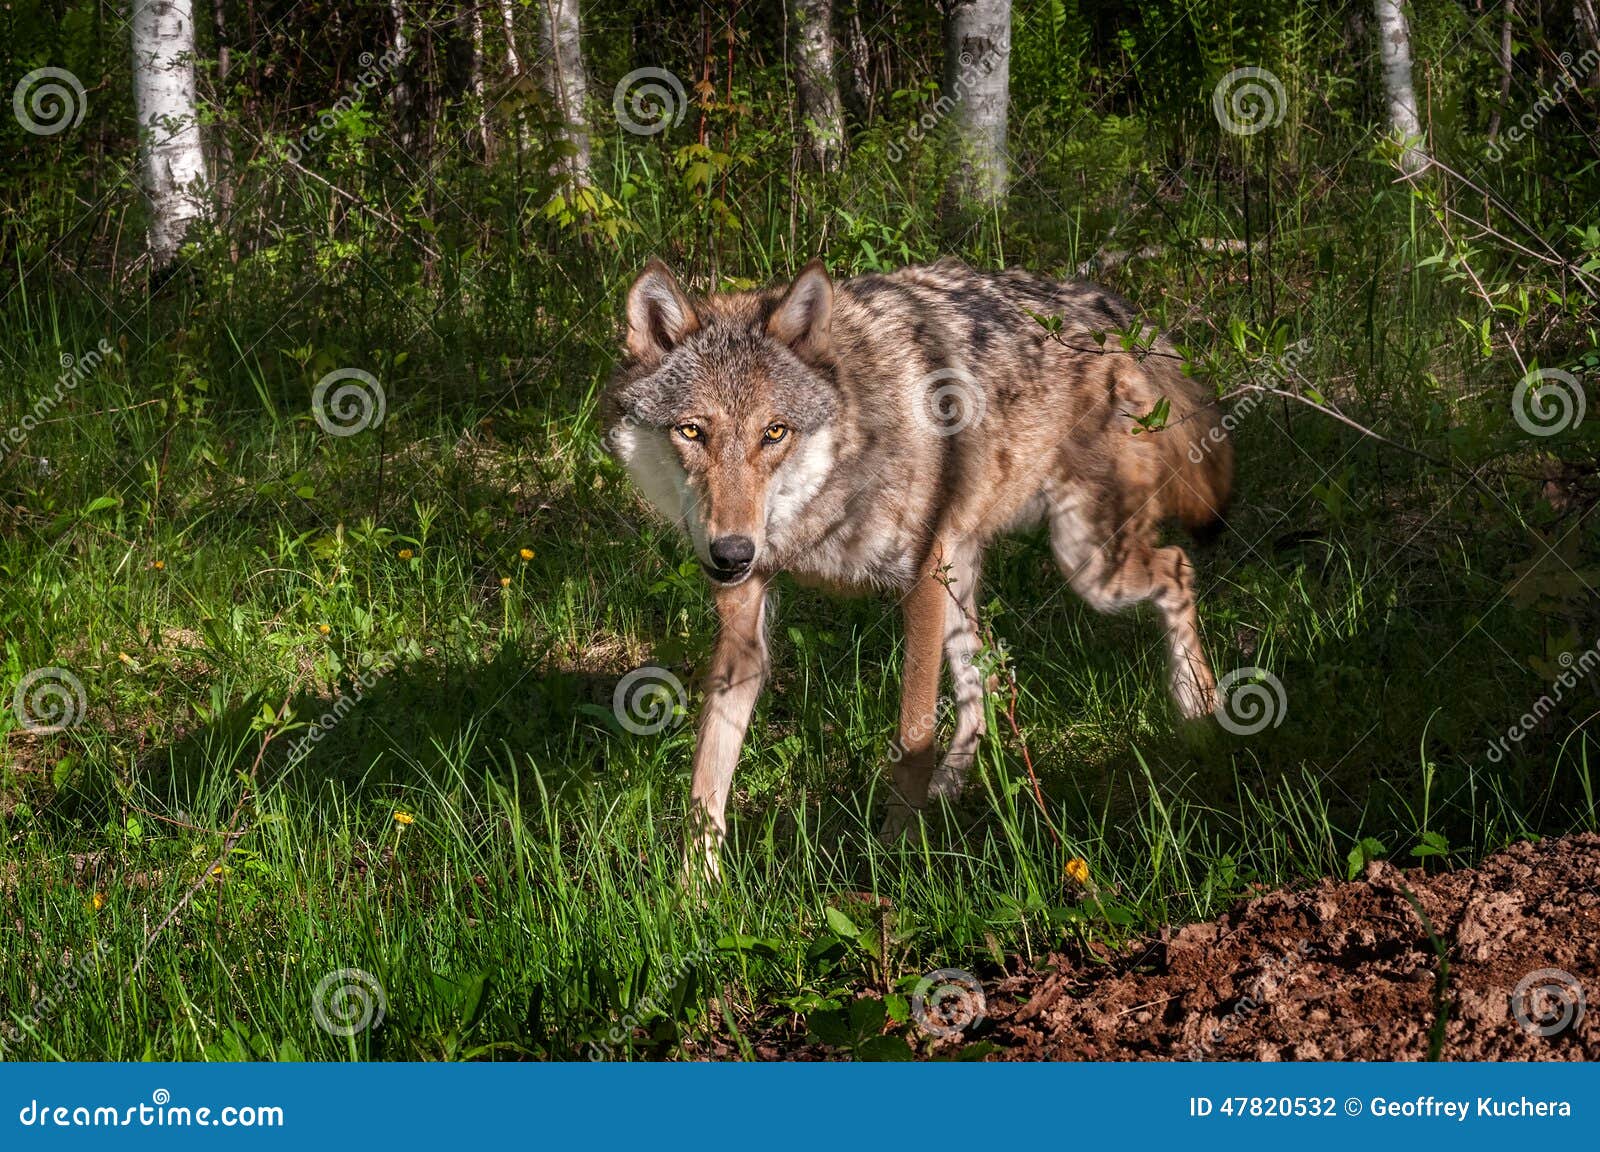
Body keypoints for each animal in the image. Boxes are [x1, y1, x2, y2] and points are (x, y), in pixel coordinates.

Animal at [605, 258, 1232, 874]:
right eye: (691, 430)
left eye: (774, 432)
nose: (732, 553)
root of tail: (1112, 312)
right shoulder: (744, 627)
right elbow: (707, 775)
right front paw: (696, 888)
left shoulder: (919, 586)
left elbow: (911, 736)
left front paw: (899, 855)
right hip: (968, 583)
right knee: (986, 686)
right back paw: (950, 789)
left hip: (1086, 565)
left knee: (1178, 566)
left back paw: (1200, 715)